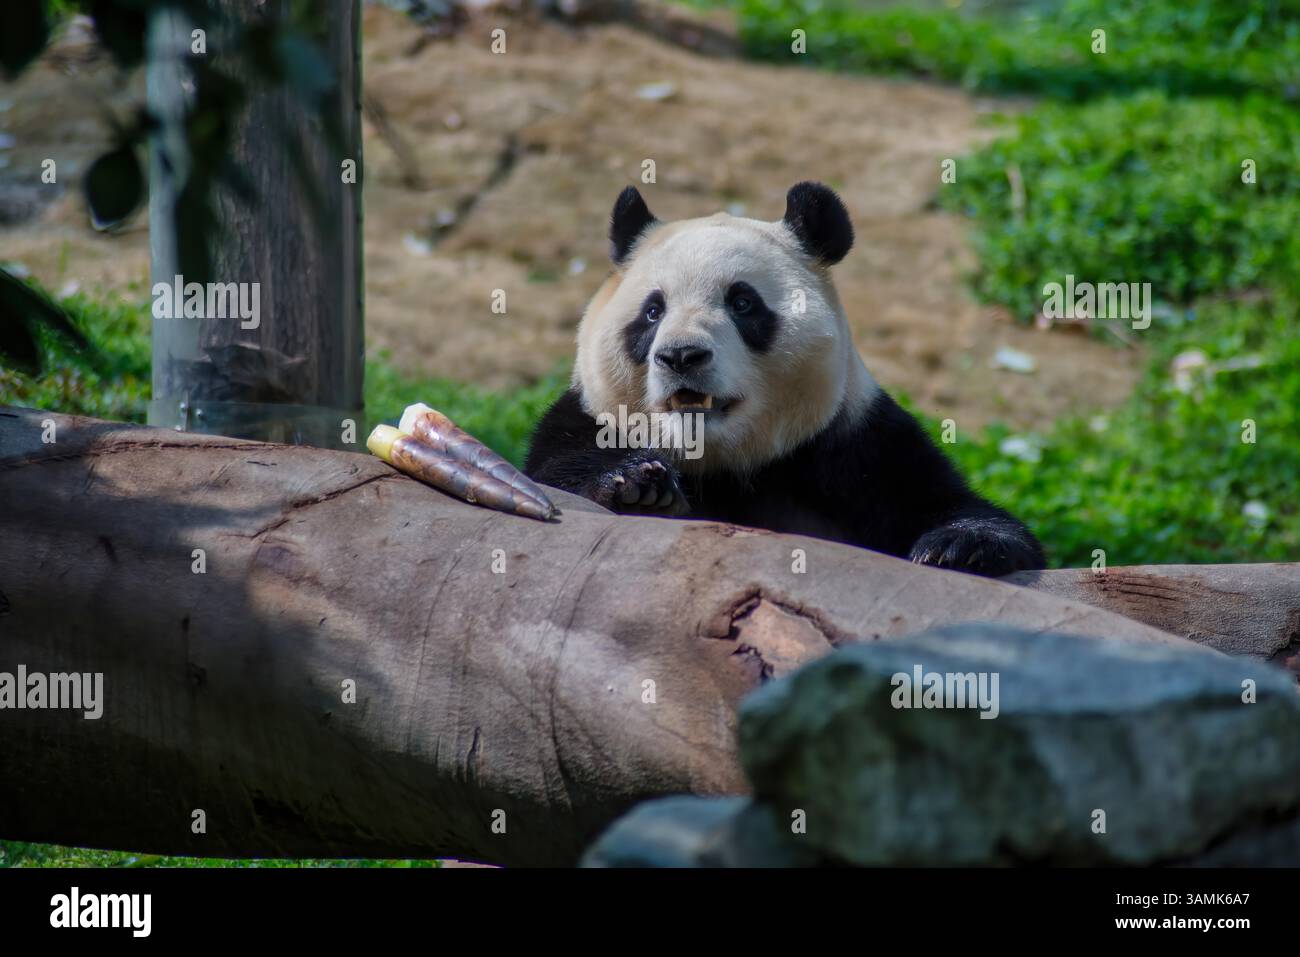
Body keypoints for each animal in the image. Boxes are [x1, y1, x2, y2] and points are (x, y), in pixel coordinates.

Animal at [524, 182, 1045, 577]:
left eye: (743, 303)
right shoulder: (583, 418)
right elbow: (561, 468)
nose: (681, 356)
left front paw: (959, 546)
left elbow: (961, 509)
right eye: (653, 311)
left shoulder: (858, 447)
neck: (722, 462)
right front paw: (635, 482)